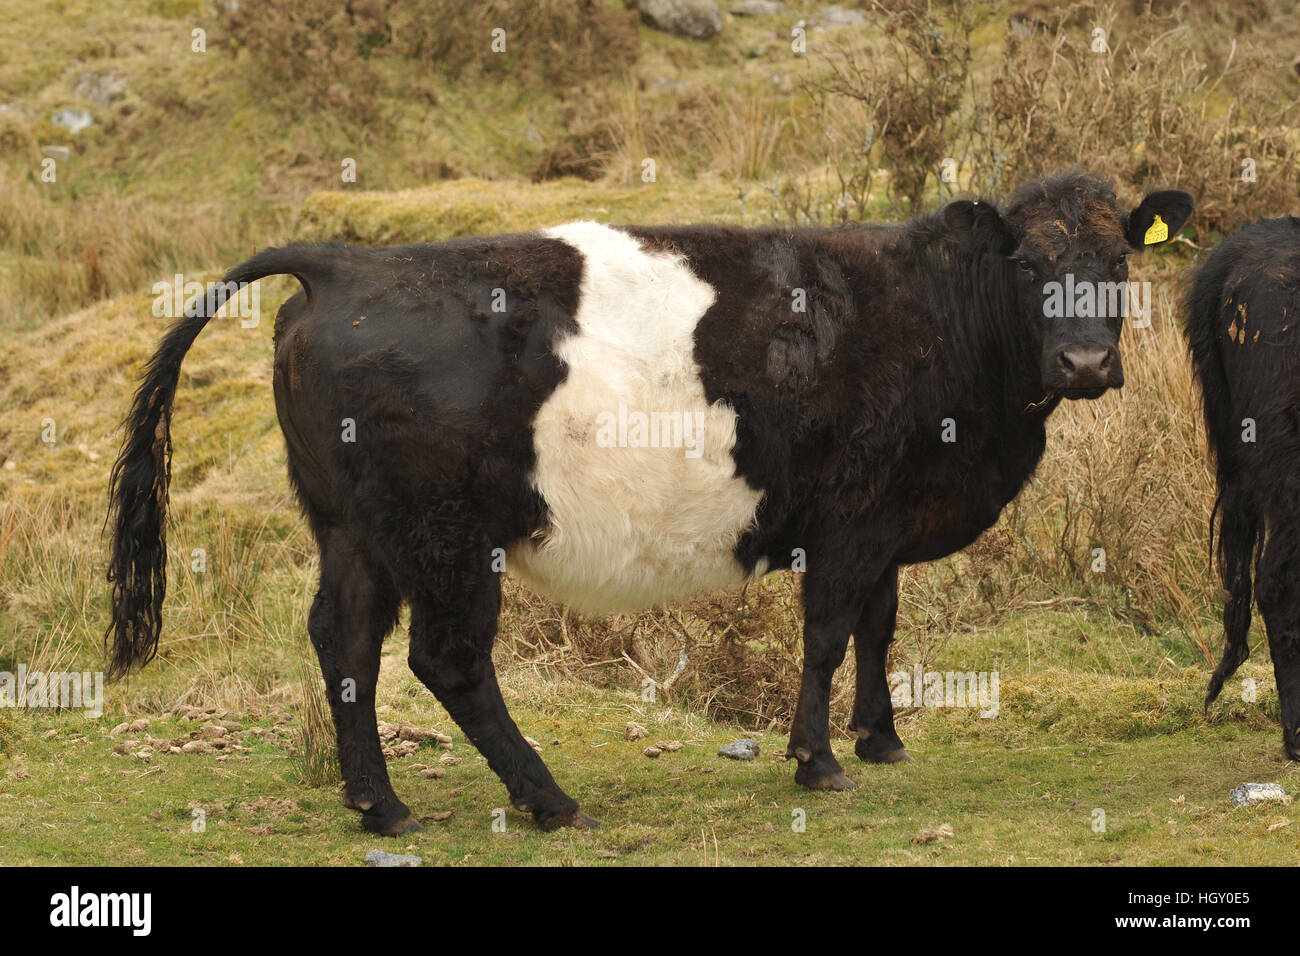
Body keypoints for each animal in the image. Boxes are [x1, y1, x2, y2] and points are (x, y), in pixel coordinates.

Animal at [106, 170, 1193, 835]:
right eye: (1031, 263)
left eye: (1119, 262)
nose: (1085, 361)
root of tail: (342, 261)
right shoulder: (850, 517)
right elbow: (829, 633)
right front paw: (818, 759)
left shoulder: (884, 519)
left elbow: (880, 626)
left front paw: (881, 739)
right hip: (446, 535)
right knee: (446, 659)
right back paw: (548, 798)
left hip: (353, 532)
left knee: (346, 643)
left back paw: (382, 805)